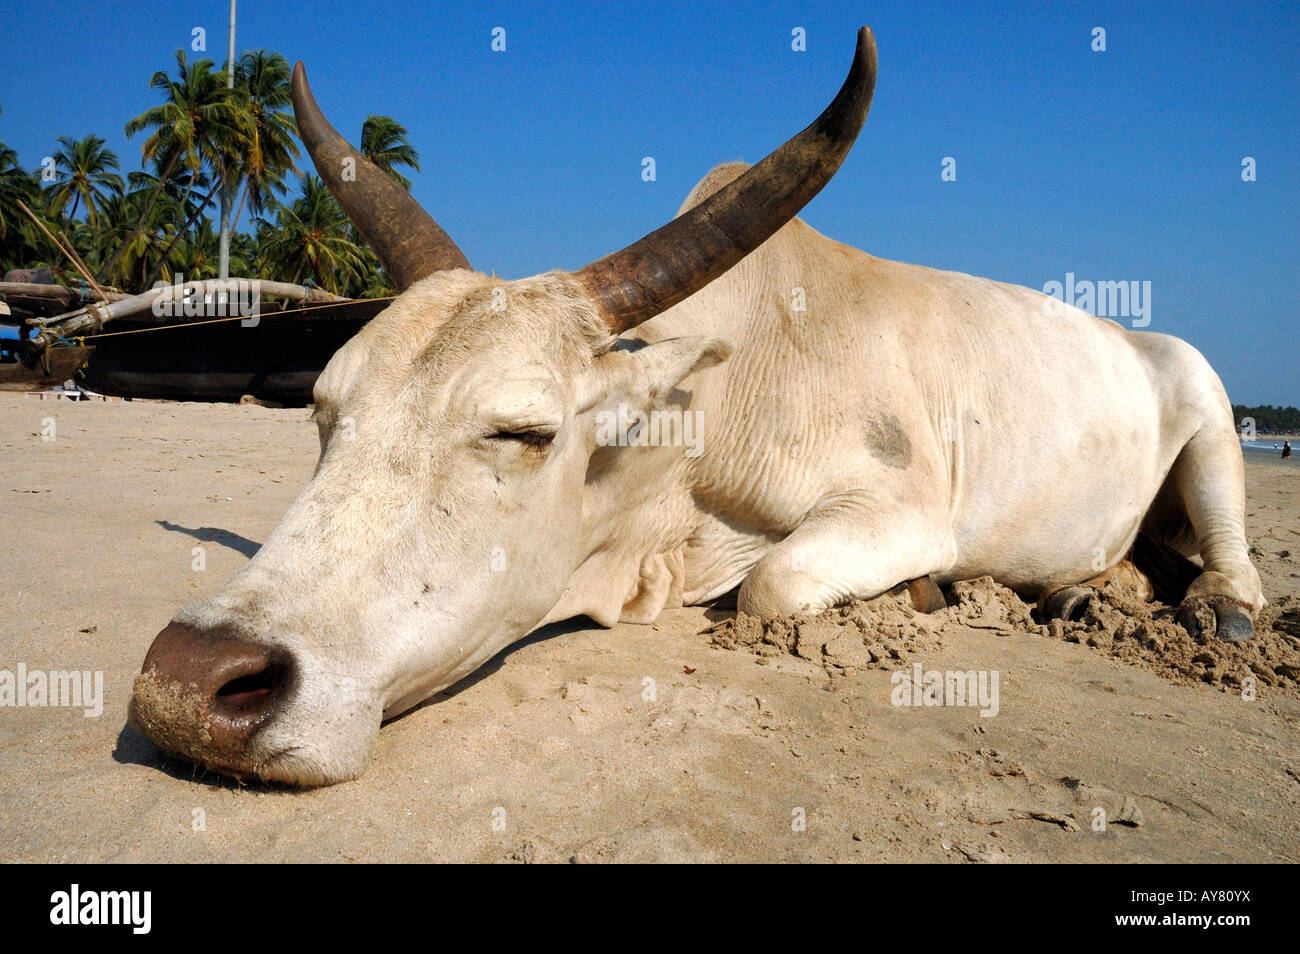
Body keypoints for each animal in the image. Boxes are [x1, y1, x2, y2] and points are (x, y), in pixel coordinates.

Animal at [130, 27, 1263, 786]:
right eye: (324, 414)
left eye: (522, 432)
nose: (192, 683)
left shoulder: (904, 508)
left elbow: (776, 583)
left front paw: (927, 594)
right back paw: (1088, 593)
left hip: (1209, 404)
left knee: (1232, 556)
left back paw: (1212, 610)